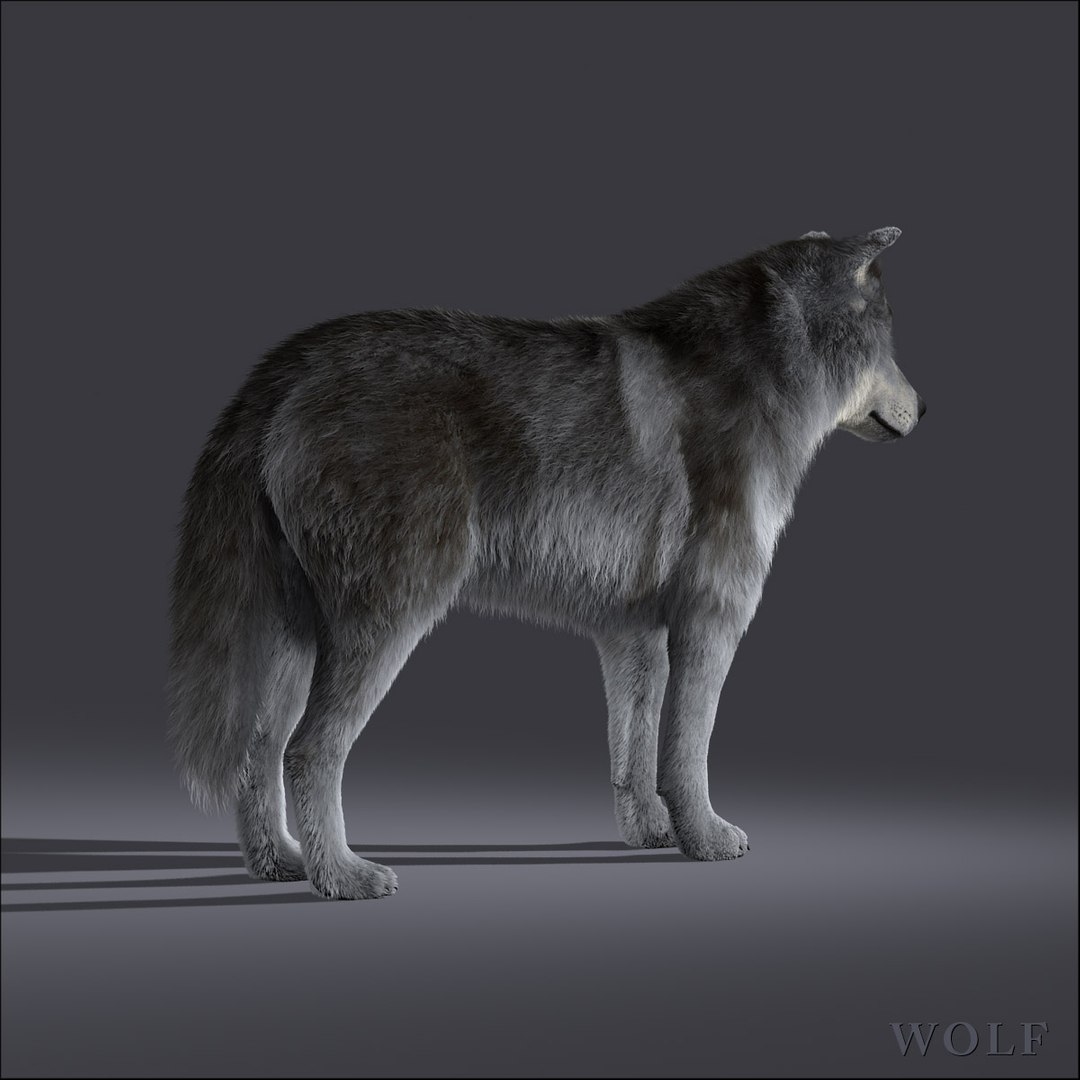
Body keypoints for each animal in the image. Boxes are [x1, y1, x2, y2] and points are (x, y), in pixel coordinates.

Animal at [168, 227, 924, 900]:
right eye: (888, 339)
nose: (925, 406)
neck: (759, 373)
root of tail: (288, 364)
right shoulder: (711, 616)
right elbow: (689, 748)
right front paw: (705, 837)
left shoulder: (632, 633)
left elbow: (634, 748)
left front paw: (651, 831)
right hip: (385, 620)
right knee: (309, 750)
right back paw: (343, 879)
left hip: (294, 634)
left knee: (258, 751)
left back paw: (279, 863)